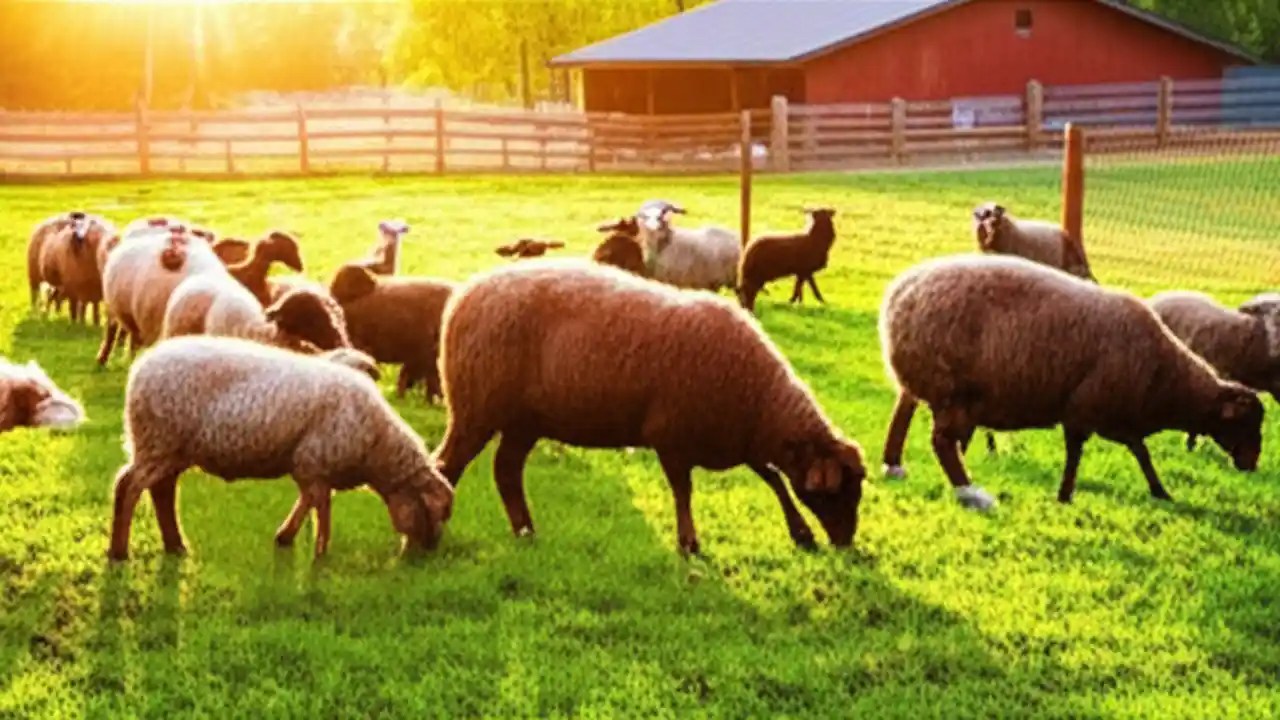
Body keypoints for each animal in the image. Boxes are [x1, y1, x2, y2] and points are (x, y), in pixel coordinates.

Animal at [106, 335, 454, 561]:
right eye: (435, 511)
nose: (427, 552)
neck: (378, 445)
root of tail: (141, 367)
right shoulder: (315, 462)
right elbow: (321, 507)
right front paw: (321, 552)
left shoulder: (310, 466)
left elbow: (310, 501)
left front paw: (286, 538)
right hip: (158, 441)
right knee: (129, 486)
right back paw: (120, 552)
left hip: (171, 449)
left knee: (162, 490)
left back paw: (175, 546)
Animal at [433, 258, 866, 554]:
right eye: (837, 491)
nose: (846, 542)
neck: (760, 399)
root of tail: (463, 295)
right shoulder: (671, 437)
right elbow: (684, 490)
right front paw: (689, 543)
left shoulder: (740, 438)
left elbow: (774, 479)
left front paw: (802, 533)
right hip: (475, 409)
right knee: (447, 465)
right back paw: (439, 532)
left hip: (524, 422)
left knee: (506, 470)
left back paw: (525, 531)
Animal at [878, 254, 1263, 511]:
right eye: (1245, 424)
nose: (1252, 464)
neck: (1168, 379)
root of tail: (899, 293)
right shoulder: (1085, 408)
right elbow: (1079, 453)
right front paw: (1065, 496)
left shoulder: (1114, 417)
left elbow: (1140, 452)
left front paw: (1160, 491)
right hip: (952, 389)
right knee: (941, 442)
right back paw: (970, 492)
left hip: (930, 379)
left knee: (904, 408)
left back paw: (894, 463)